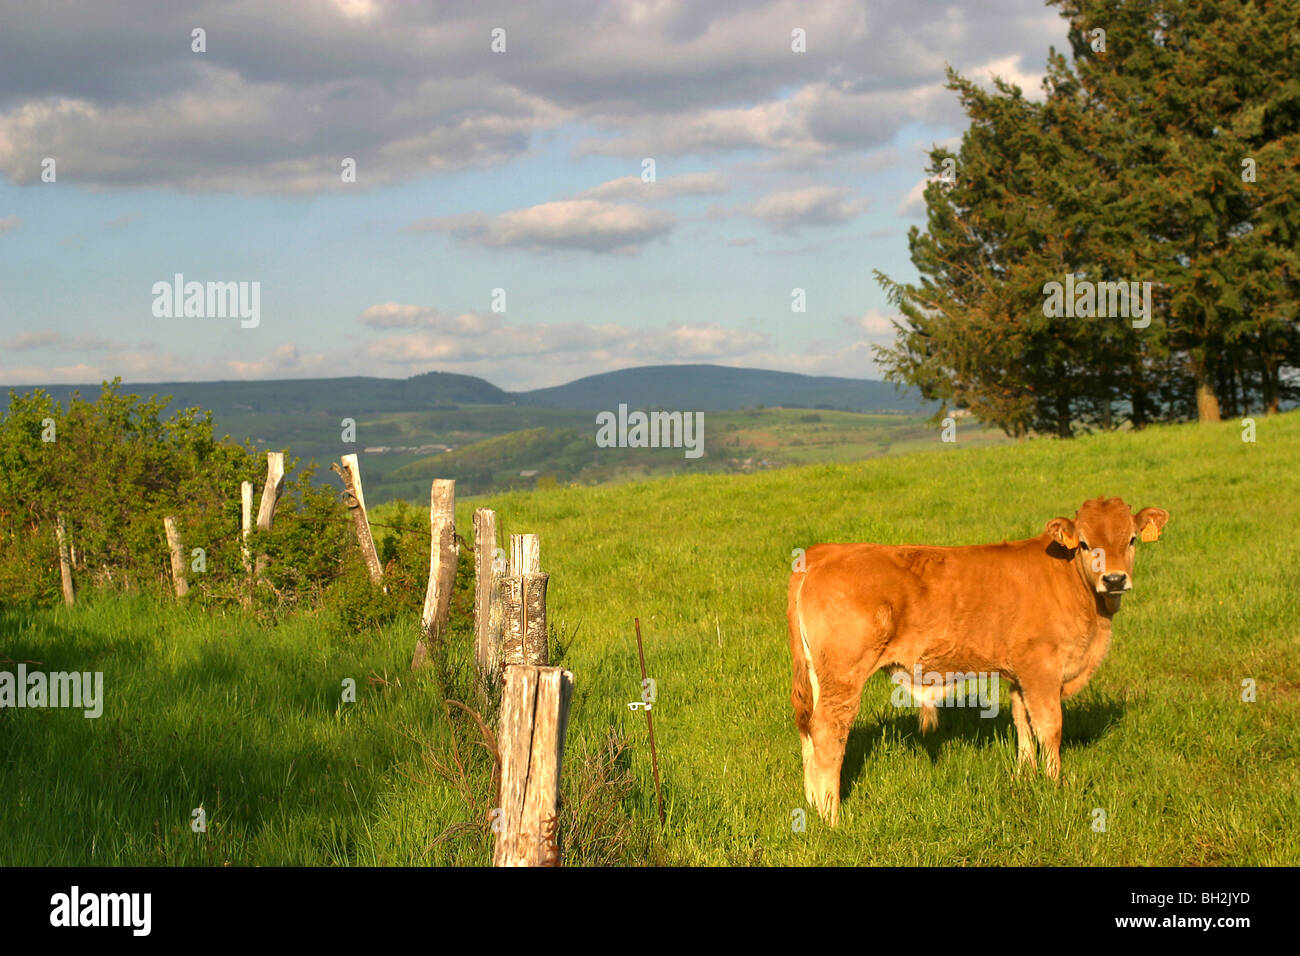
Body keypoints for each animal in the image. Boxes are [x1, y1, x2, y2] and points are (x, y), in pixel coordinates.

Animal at [787, 496, 1169, 825]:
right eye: (1086, 544)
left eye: (1132, 539)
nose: (1115, 579)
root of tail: (823, 551)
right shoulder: (1042, 668)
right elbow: (1050, 726)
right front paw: (1055, 785)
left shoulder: (1019, 673)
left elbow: (1022, 720)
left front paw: (1026, 776)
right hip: (843, 675)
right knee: (828, 732)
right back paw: (831, 816)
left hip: (818, 676)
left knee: (808, 731)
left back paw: (813, 805)